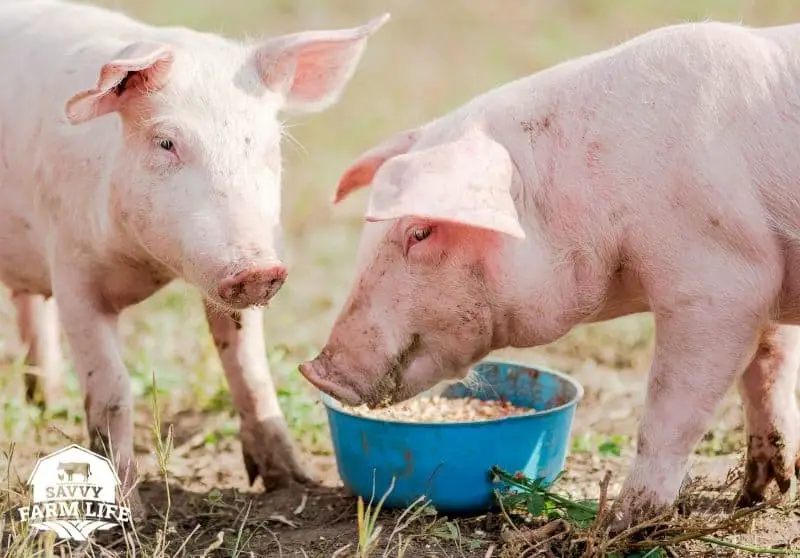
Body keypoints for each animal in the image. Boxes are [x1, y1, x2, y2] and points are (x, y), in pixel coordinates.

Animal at [0, 0, 389, 512]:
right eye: (166, 142)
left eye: (270, 146)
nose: (258, 269)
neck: (145, 266)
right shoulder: (71, 271)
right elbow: (112, 388)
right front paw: (128, 513)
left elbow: (249, 367)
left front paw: (292, 481)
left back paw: (47, 400)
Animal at [300, 20, 800, 531]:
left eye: (420, 231)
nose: (316, 371)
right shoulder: (764, 283)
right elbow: (768, 369)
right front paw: (758, 495)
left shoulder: (720, 282)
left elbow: (670, 408)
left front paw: (623, 524)